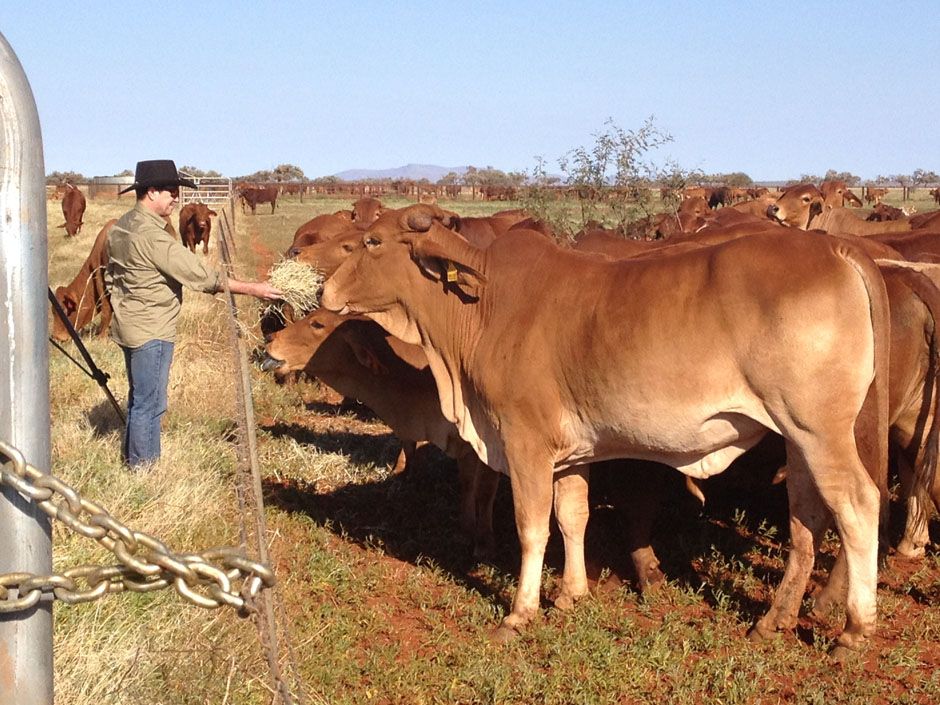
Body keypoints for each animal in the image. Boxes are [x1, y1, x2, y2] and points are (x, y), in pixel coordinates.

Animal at [261, 309, 500, 557]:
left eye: (317, 324)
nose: (269, 338)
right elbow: (465, 482)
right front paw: (465, 529)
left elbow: (483, 491)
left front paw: (484, 542)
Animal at [320, 204, 891, 657]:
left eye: (372, 242)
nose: (325, 291)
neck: (481, 307)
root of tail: (836, 247)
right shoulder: (571, 454)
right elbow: (572, 516)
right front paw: (571, 594)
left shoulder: (525, 443)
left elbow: (532, 528)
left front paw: (520, 613)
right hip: (797, 437)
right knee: (807, 515)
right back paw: (774, 620)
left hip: (819, 430)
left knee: (858, 503)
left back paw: (853, 631)